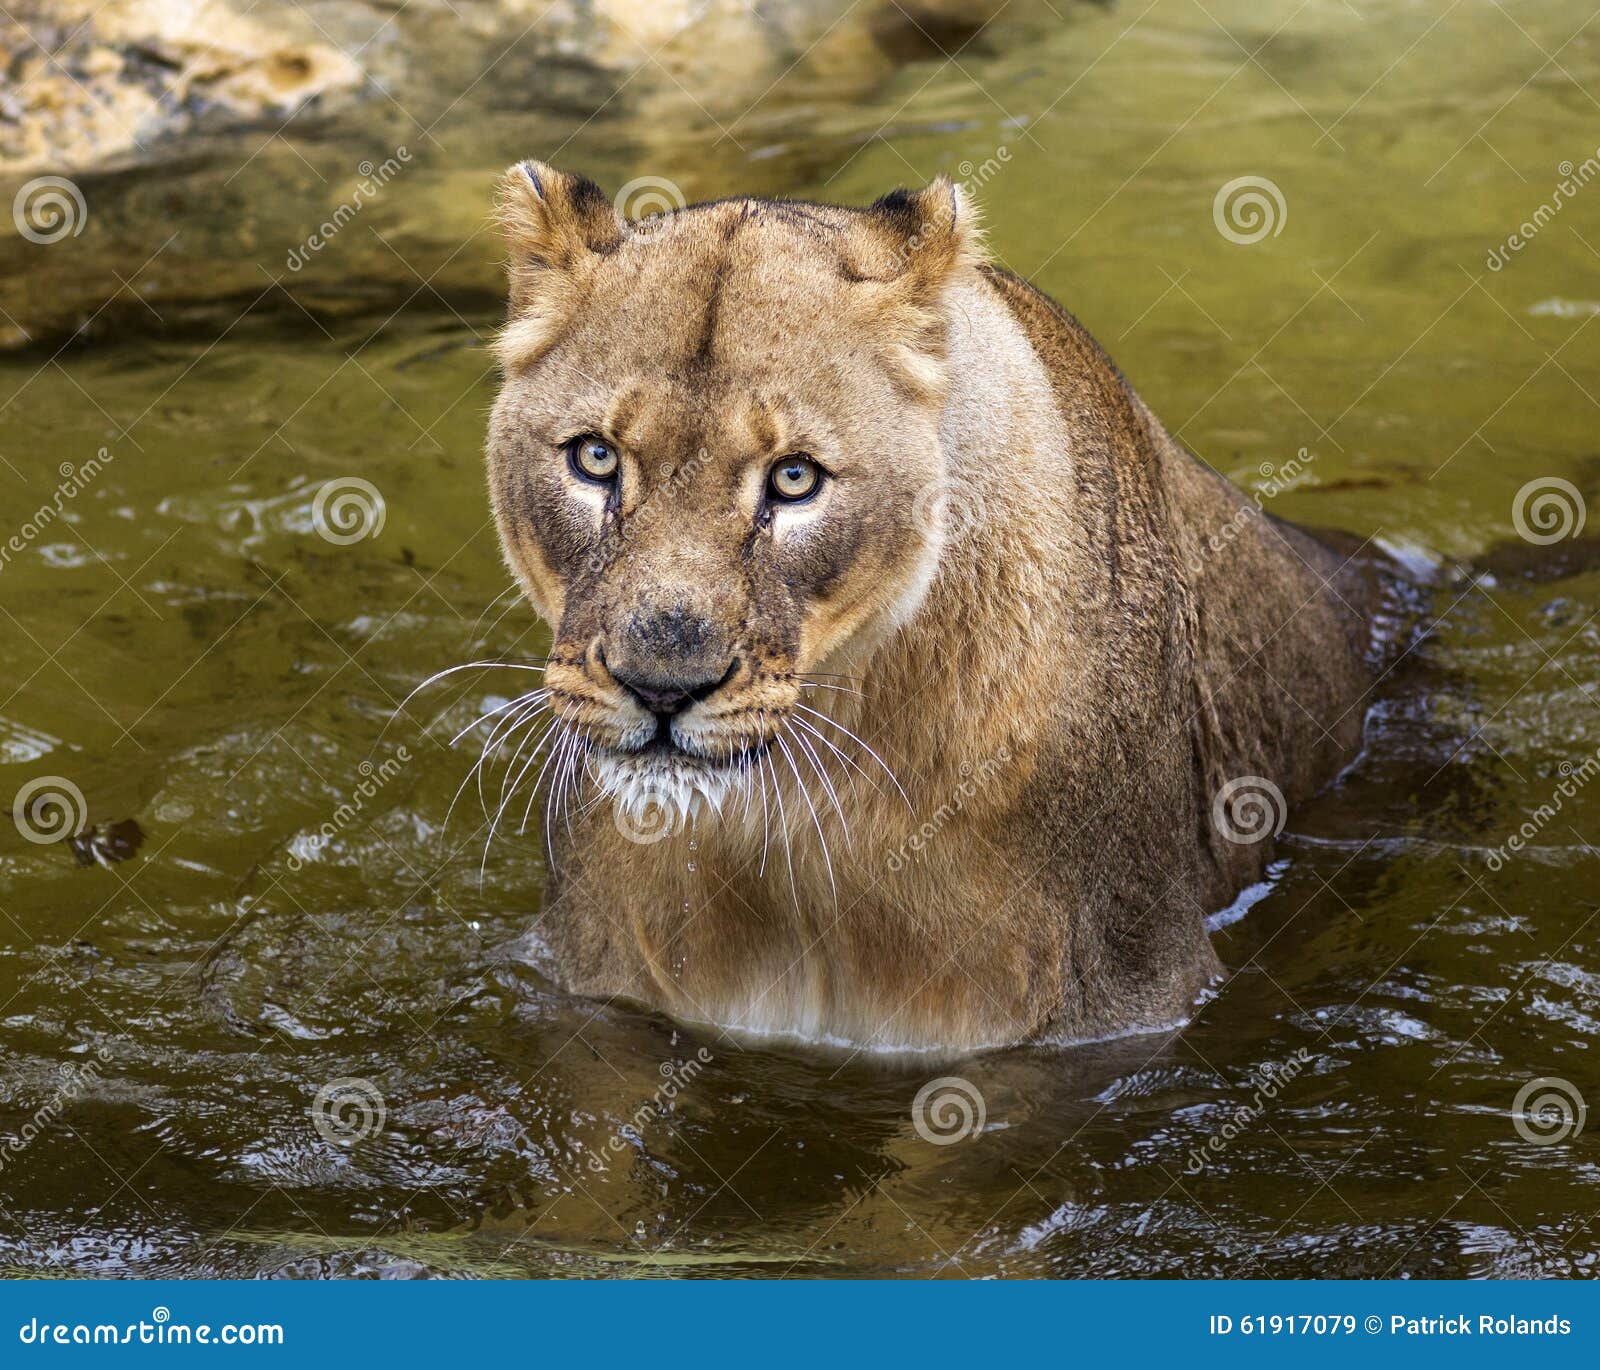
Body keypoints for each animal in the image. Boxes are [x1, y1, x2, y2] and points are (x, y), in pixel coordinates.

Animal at [480, 161, 1398, 1057]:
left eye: (794, 478)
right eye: (597, 459)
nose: (661, 689)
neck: (797, 818)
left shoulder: (1114, 1005)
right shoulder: (593, 984)